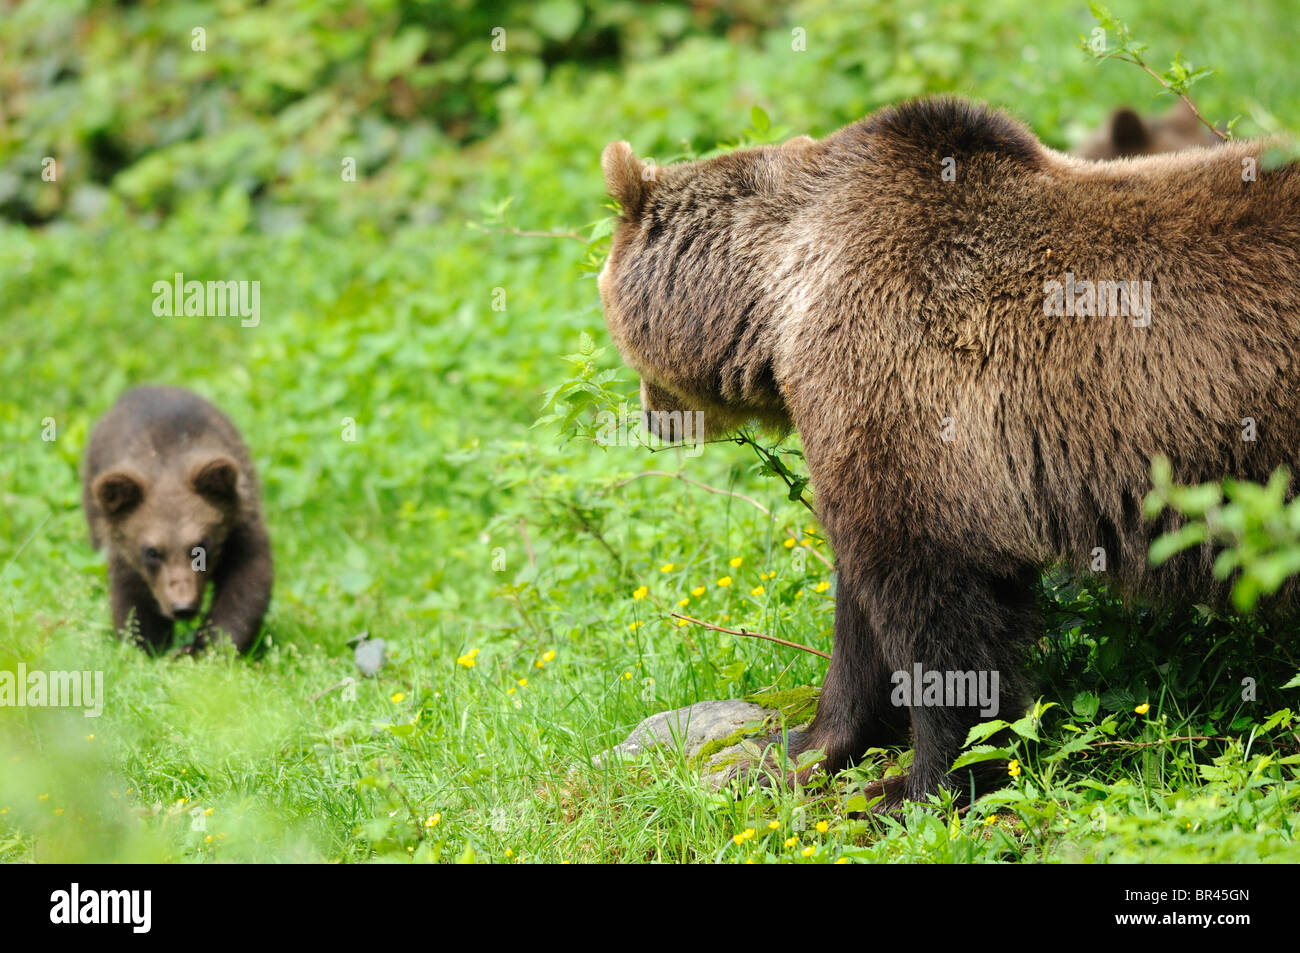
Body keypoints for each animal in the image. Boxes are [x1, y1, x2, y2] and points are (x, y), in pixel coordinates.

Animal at [83, 386, 273, 654]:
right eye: (152, 551)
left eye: (201, 545)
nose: (183, 606)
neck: (167, 462)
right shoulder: (124, 552)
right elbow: (133, 599)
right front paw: (149, 646)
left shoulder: (239, 528)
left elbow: (246, 584)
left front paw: (204, 647)